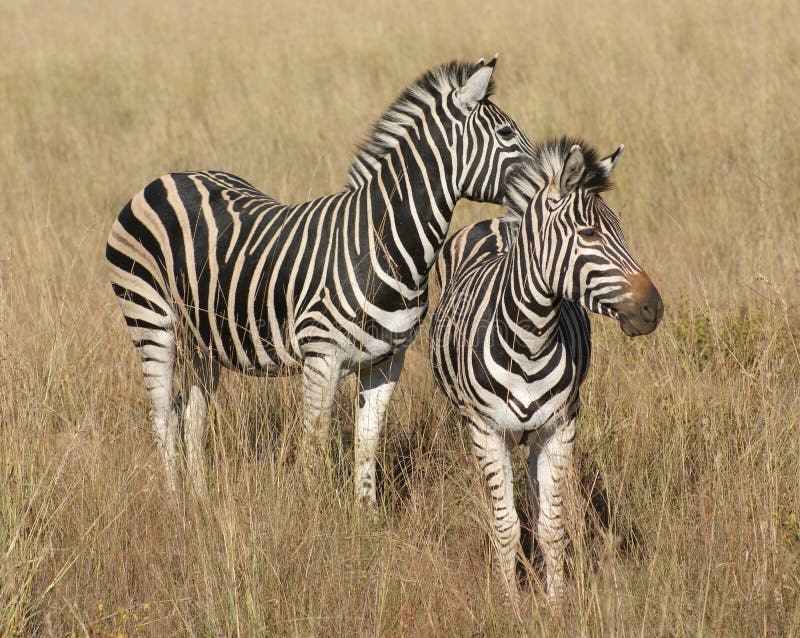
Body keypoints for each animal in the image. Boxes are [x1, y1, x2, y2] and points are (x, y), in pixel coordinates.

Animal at [106, 57, 536, 501]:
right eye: (506, 134)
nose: (549, 182)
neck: (383, 244)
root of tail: (165, 178)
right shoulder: (321, 358)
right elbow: (314, 443)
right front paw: (311, 509)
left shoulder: (387, 362)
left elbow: (367, 443)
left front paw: (365, 512)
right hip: (150, 320)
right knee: (162, 415)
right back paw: (176, 501)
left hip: (202, 338)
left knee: (190, 415)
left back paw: (201, 499)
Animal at [428, 139, 663, 603]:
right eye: (589, 234)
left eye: (621, 228)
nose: (653, 308)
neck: (530, 340)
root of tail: (495, 222)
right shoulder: (486, 431)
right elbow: (505, 526)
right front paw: (511, 604)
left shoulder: (560, 426)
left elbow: (552, 526)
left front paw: (556, 604)